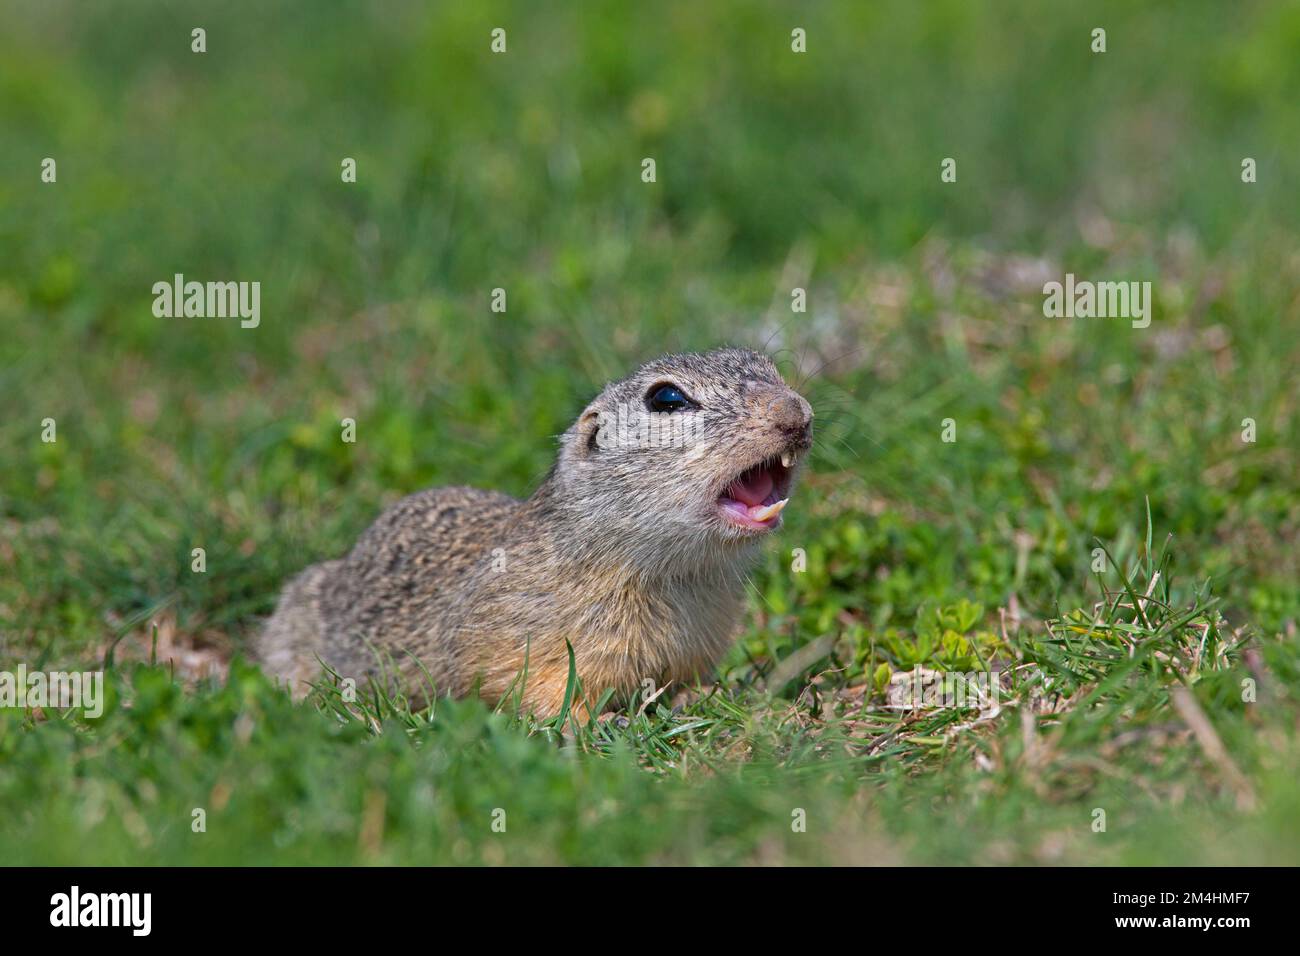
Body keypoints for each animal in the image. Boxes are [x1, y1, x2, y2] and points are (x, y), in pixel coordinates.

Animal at [257, 347, 813, 716]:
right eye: (668, 398)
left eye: (767, 365)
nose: (797, 412)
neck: (678, 570)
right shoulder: (528, 641)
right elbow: (532, 687)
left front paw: (711, 696)